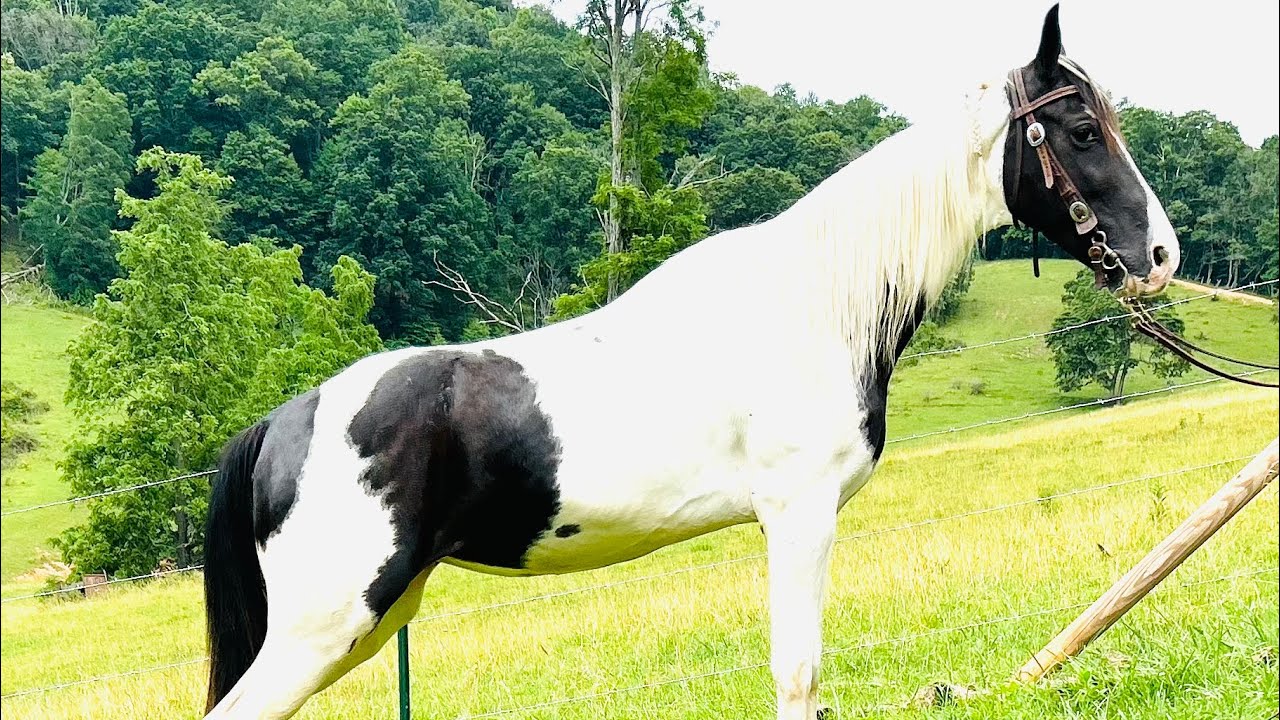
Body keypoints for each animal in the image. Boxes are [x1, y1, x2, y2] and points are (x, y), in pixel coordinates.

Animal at [202, 6, 1180, 719]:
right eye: (1082, 130)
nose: (1161, 256)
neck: (812, 303)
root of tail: (285, 421)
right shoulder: (799, 518)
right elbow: (797, 674)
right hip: (326, 628)